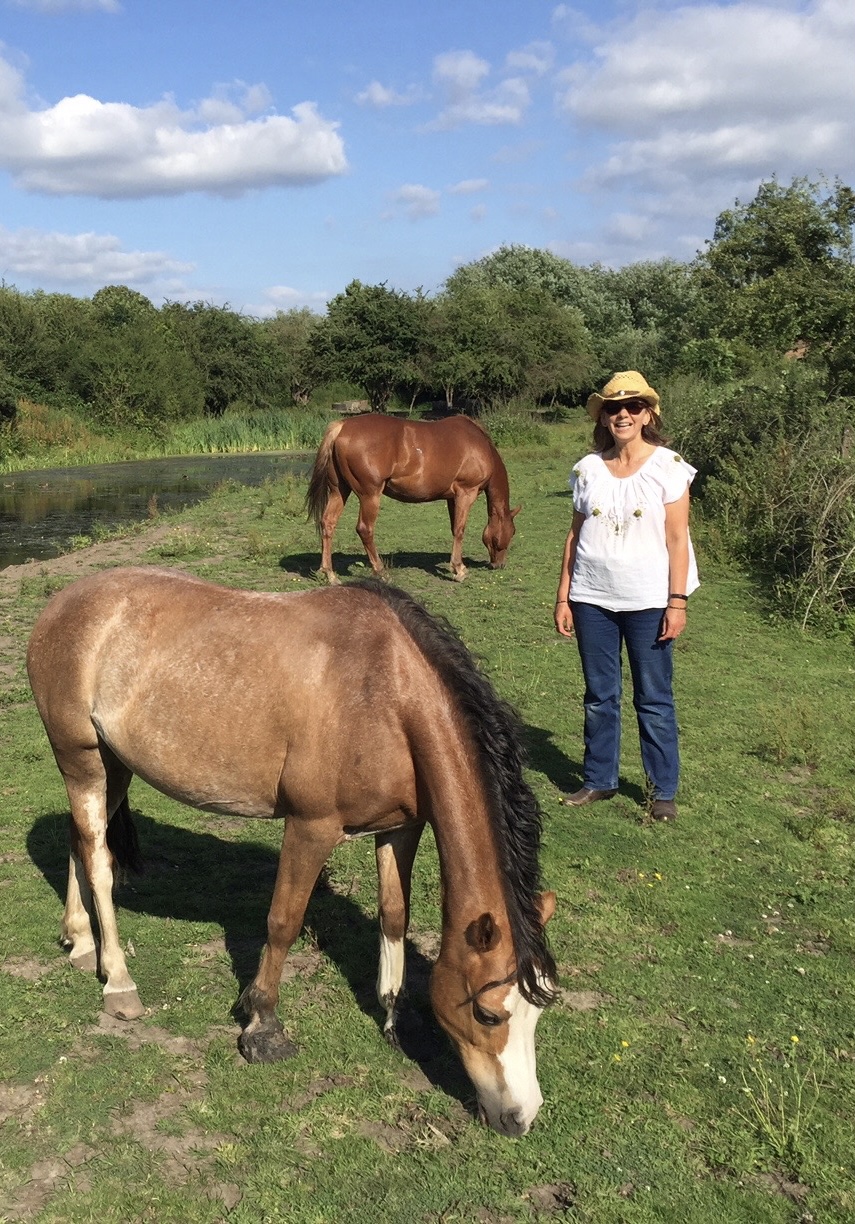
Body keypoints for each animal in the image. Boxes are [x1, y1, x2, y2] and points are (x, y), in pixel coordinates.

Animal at [26, 567, 556, 1137]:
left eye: (538, 1011)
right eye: (488, 1014)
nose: (520, 1117)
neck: (387, 695)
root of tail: (63, 602)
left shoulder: (401, 828)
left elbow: (395, 913)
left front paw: (394, 1015)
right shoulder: (311, 827)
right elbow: (283, 920)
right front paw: (263, 1026)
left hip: (114, 766)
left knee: (82, 844)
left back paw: (81, 941)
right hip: (81, 760)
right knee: (99, 863)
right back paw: (119, 983)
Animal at [306, 414, 520, 583]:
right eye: (511, 532)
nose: (499, 565)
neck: (479, 445)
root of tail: (342, 427)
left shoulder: (452, 498)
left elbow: (454, 528)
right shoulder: (466, 493)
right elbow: (460, 530)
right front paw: (459, 569)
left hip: (339, 491)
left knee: (328, 523)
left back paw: (329, 574)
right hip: (370, 496)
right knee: (365, 530)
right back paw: (380, 571)